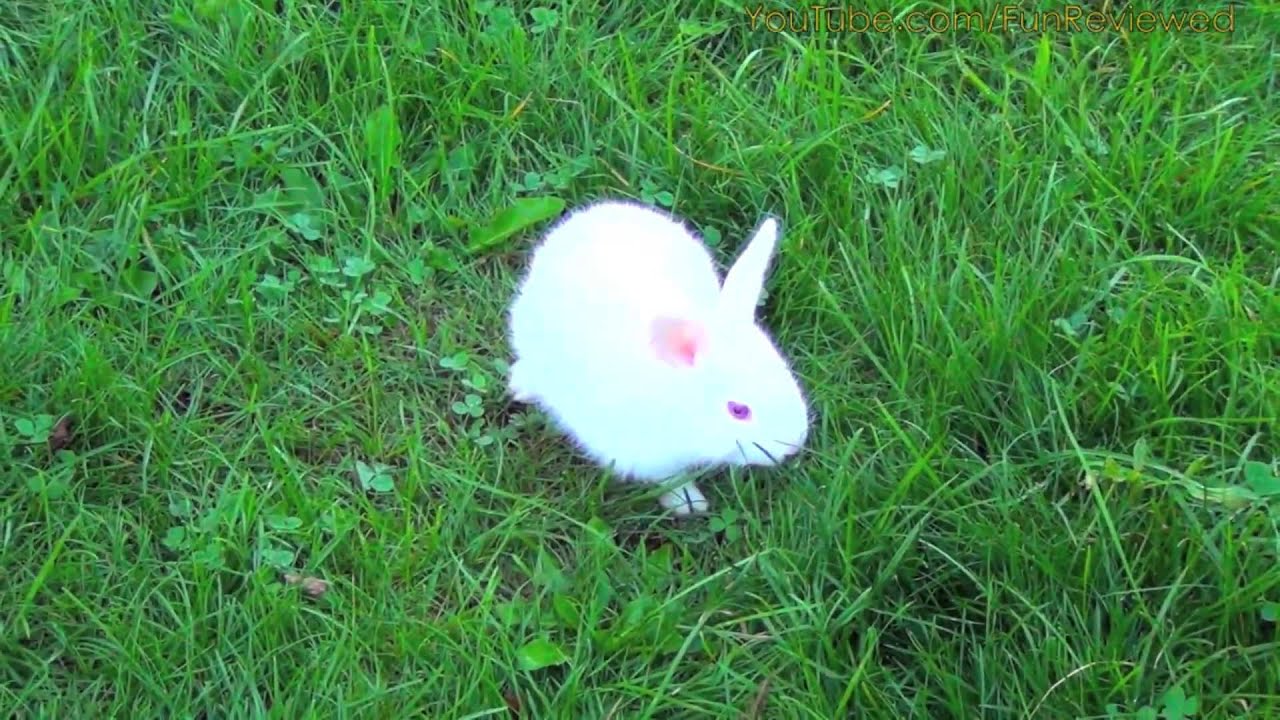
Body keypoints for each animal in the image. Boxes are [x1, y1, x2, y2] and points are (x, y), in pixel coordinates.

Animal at [505, 198, 810, 515]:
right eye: (738, 410)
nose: (794, 444)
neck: (677, 403)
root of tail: (593, 213)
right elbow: (671, 480)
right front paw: (688, 504)